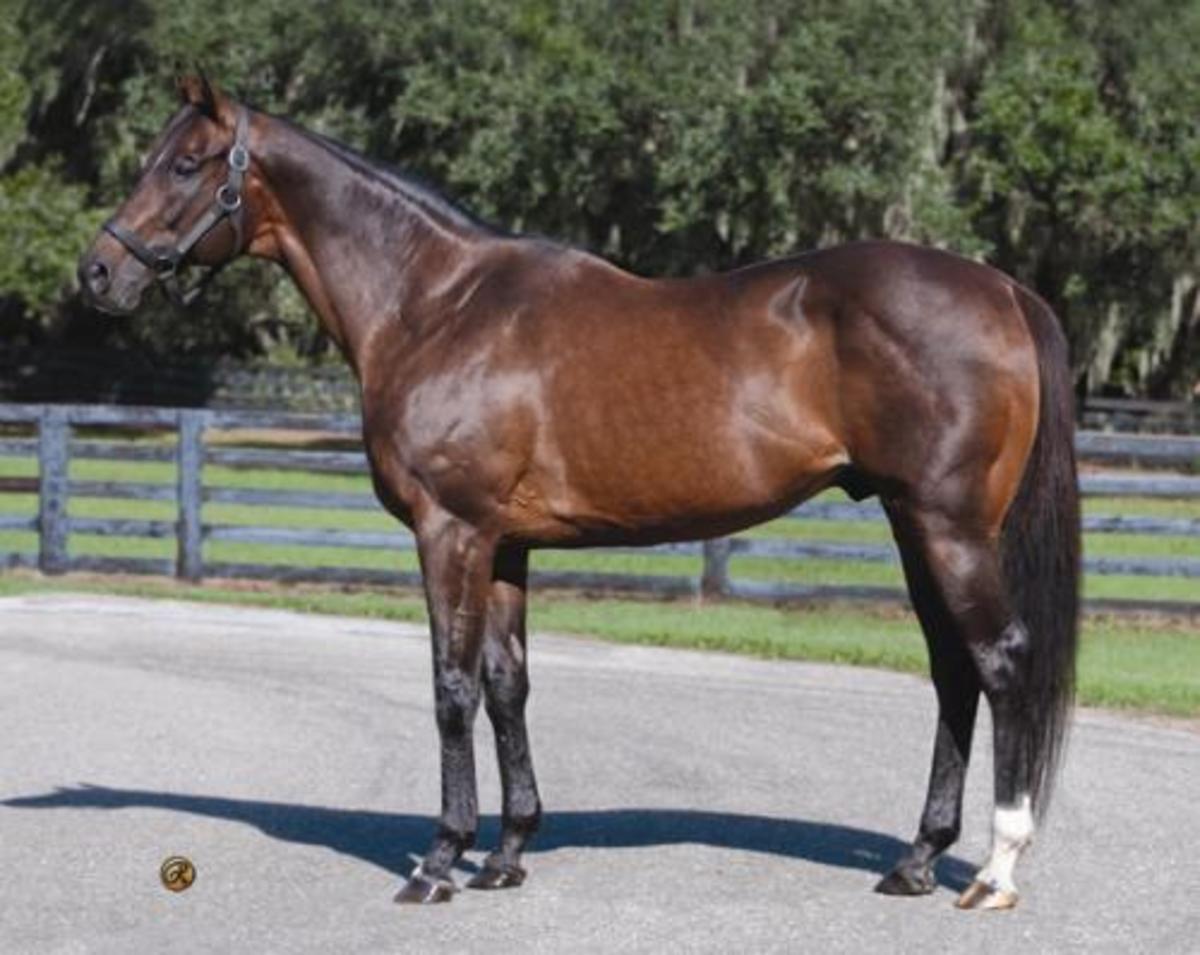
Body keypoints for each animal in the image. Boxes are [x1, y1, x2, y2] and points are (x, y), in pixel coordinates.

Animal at [79, 76, 1080, 911]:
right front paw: (506, 853)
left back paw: (994, 870)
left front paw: (439, 862)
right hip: (915, 525)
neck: (436, 304)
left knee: (999, 660)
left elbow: (450, 686)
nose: (98, 272)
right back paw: (915, 859)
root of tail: (1002, 289)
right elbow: (507, 683)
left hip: (949, 526)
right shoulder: (505, 544)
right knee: (953, 669)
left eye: (186, 163)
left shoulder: (450, 532)